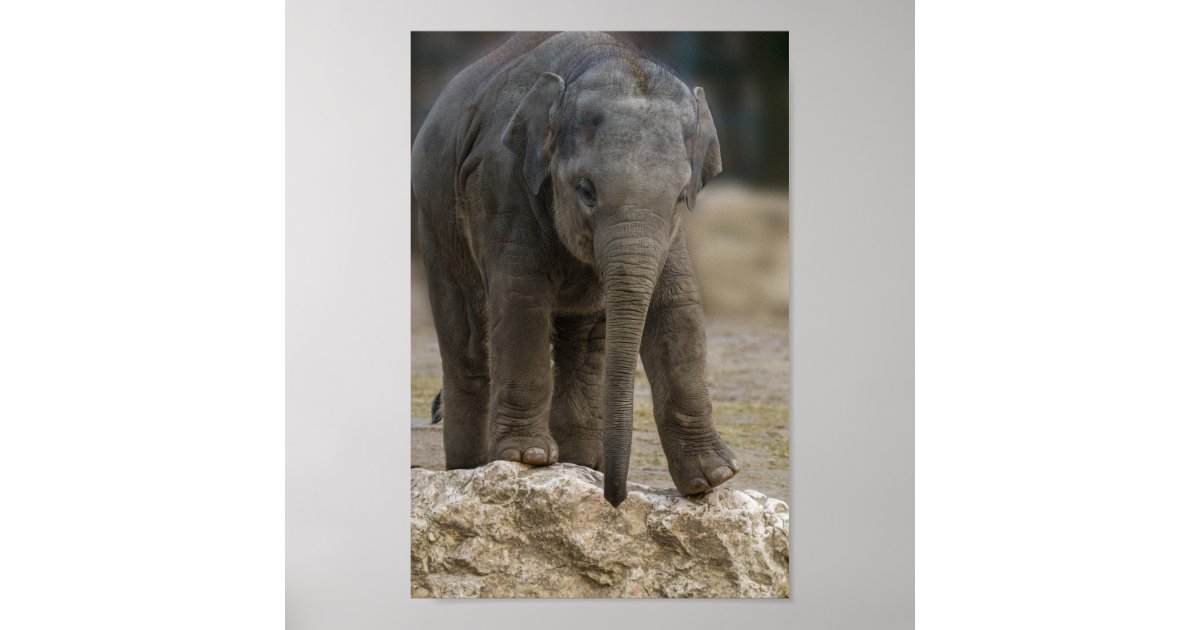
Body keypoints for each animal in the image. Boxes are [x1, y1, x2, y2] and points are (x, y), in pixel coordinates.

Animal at [412, 32, 738, 507]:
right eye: (586, 189)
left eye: (681, 196)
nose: (615, 500)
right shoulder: (499, 179)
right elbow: (521, 295)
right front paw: (528, 459)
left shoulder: (671, 233)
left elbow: (678, 305)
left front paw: (713, 478)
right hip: (434, 224)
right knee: (467, 339)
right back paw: (470, 468)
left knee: (583, 342)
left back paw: (581, 464)